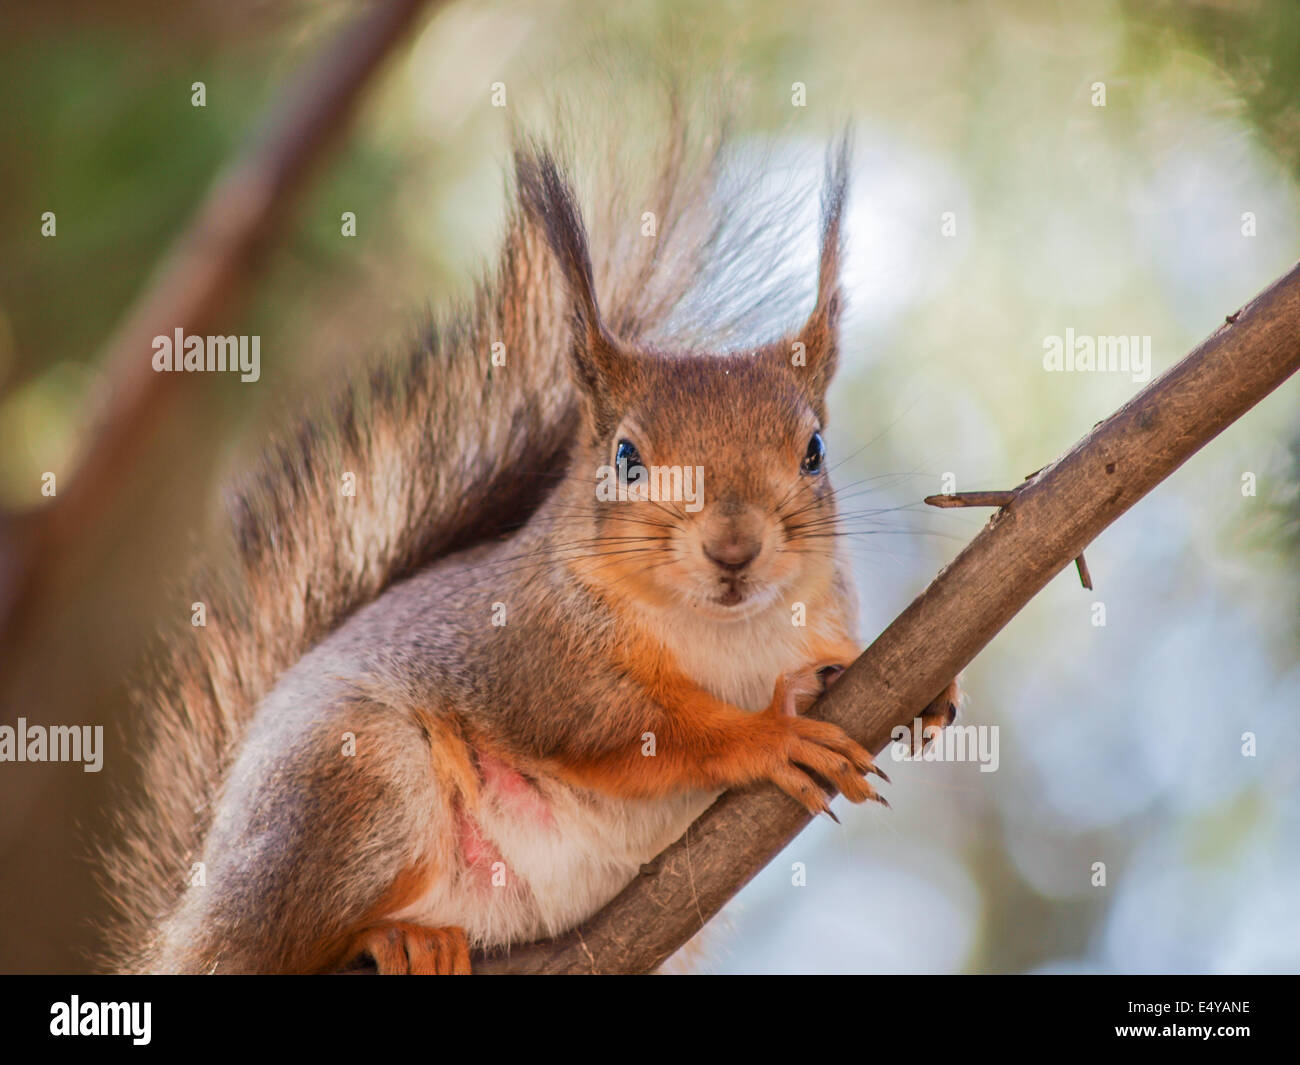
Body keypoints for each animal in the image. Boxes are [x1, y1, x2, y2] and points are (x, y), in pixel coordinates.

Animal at [103, 120, 959, 974]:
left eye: (814, 451)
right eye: (625, 457)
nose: (734, 545)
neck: (725, 627)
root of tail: (193, 917)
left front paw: (921, 692)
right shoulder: (535, 658)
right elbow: (633, 730)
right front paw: (766, 733)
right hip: (355, 778)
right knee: (282, 942)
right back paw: (397, 935)